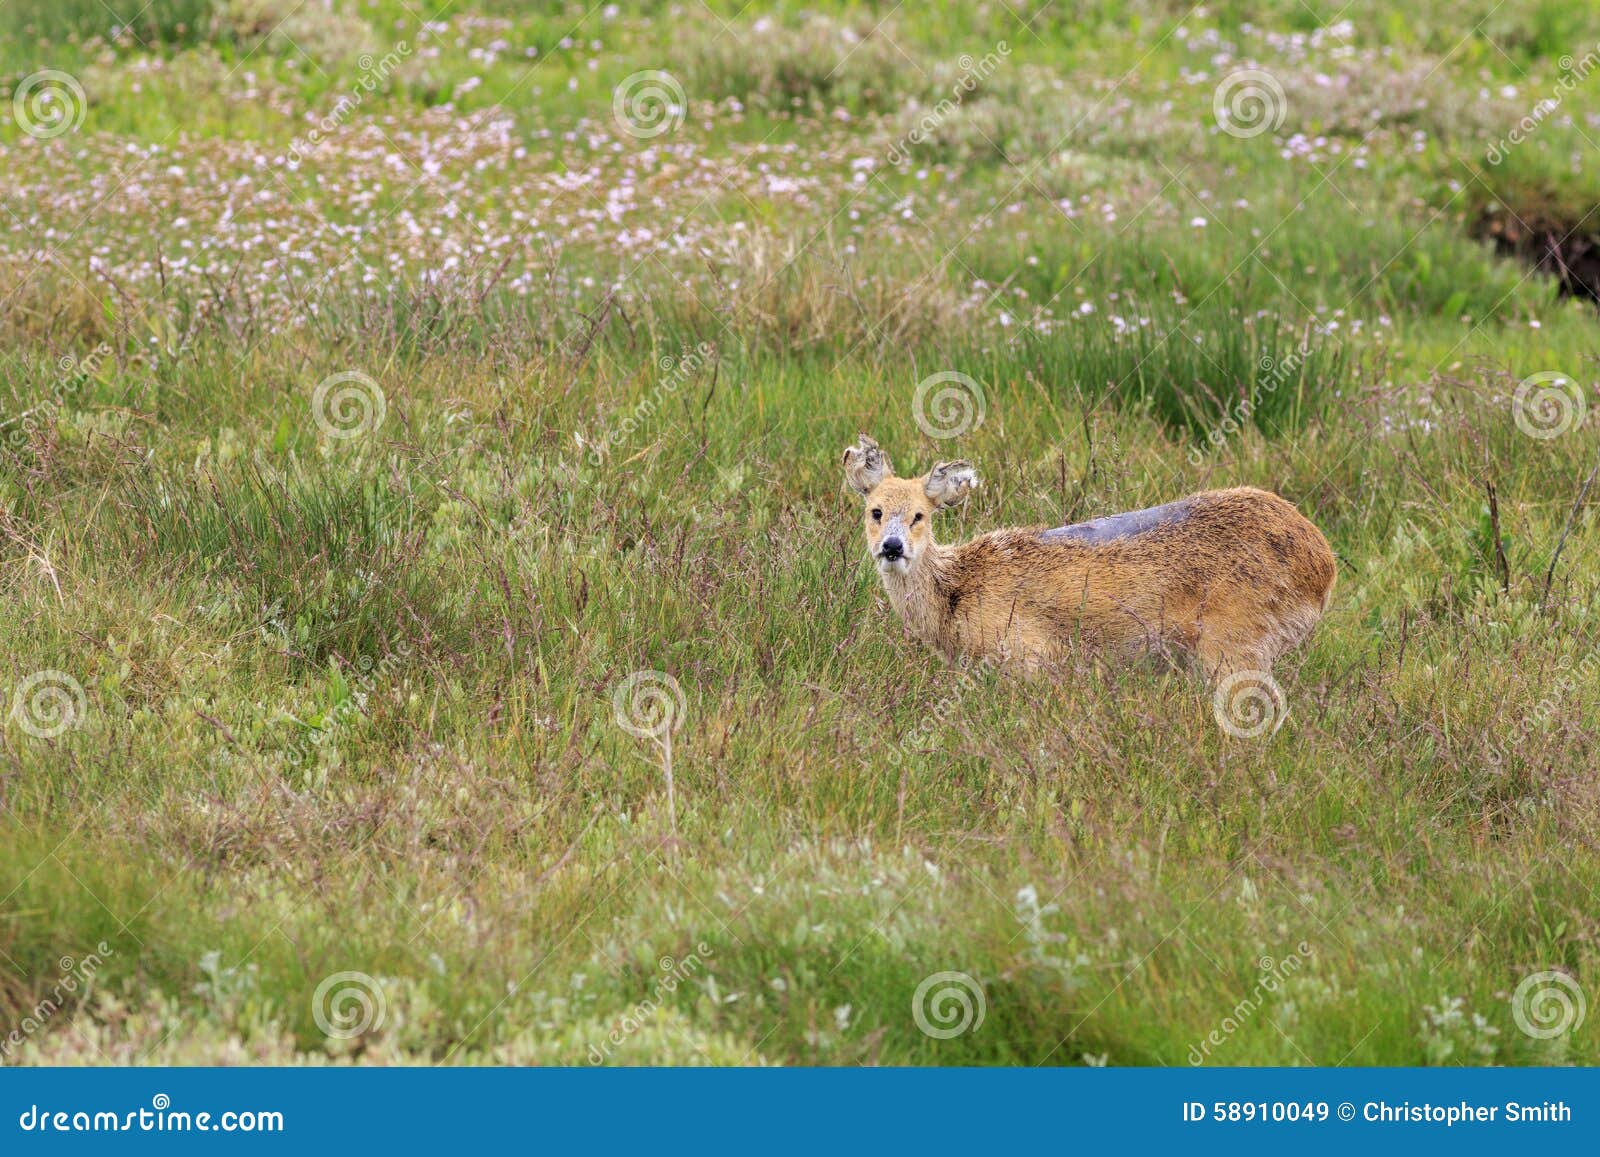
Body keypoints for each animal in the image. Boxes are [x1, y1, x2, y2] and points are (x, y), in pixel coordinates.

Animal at [840, 434, 1335, 683]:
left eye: (920, 515)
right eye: (875, 511)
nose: (892, 546)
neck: (956, 590)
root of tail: (1323, 564)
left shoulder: (1030, 657)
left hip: (1236, 640)